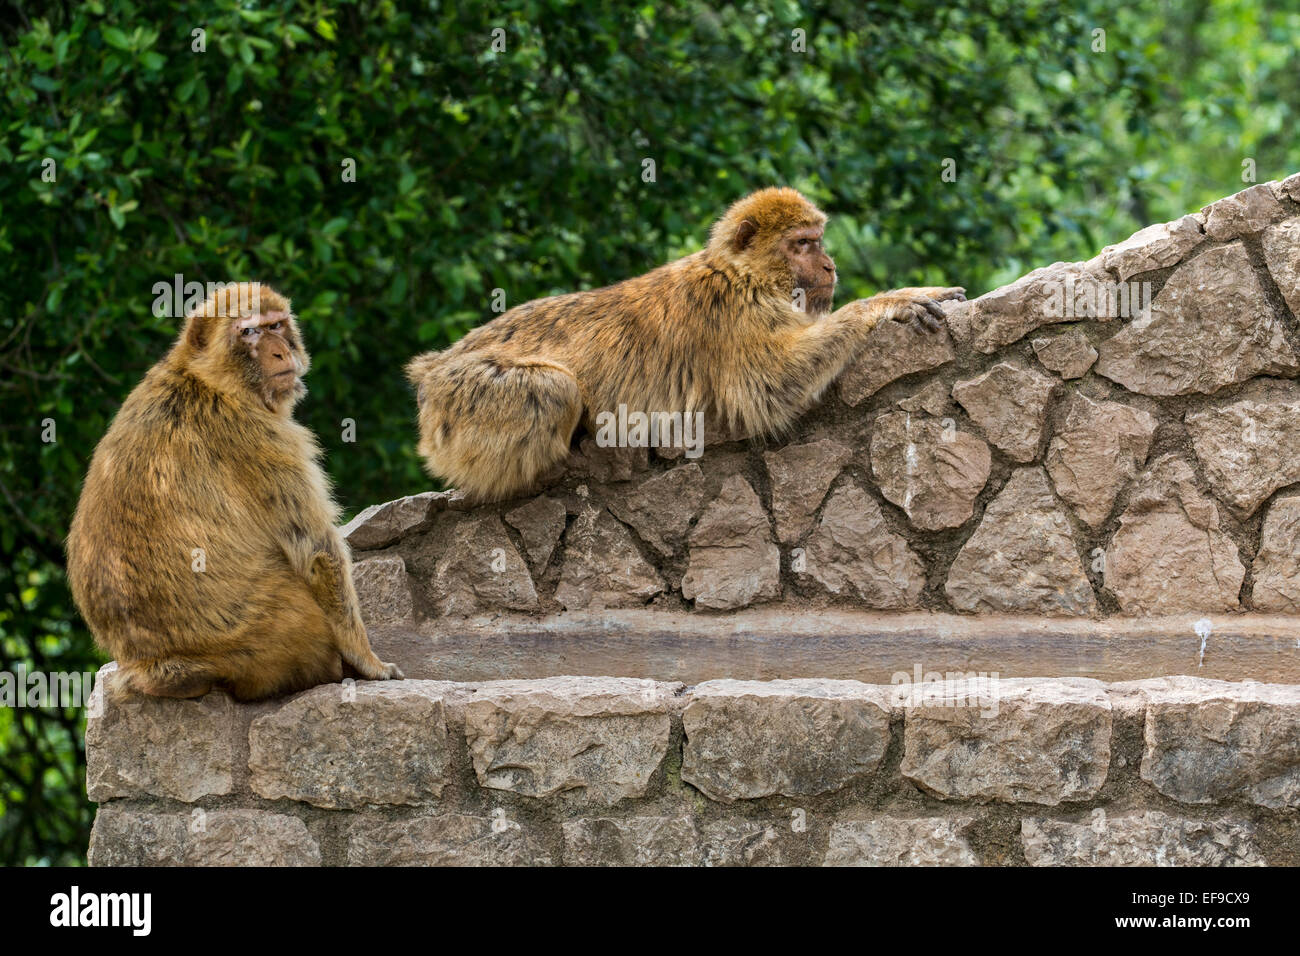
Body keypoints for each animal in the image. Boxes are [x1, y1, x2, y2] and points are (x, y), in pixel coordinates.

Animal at [66, 282, 402, 702]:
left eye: (276, 325)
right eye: (250, 332)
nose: (280, 351)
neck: (206, 379)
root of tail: (155, 666)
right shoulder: (260, 435)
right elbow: (317, 552)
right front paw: (366, 659)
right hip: (283, 635)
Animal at [406, 187, 965, 503]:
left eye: (818, 240)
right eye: (803, 244)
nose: (828, 266)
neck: (747, 274)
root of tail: (432, 370)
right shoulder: (734, 316)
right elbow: (769, 388)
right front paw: (888, 303)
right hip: (461, 399)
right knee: (554, 390)